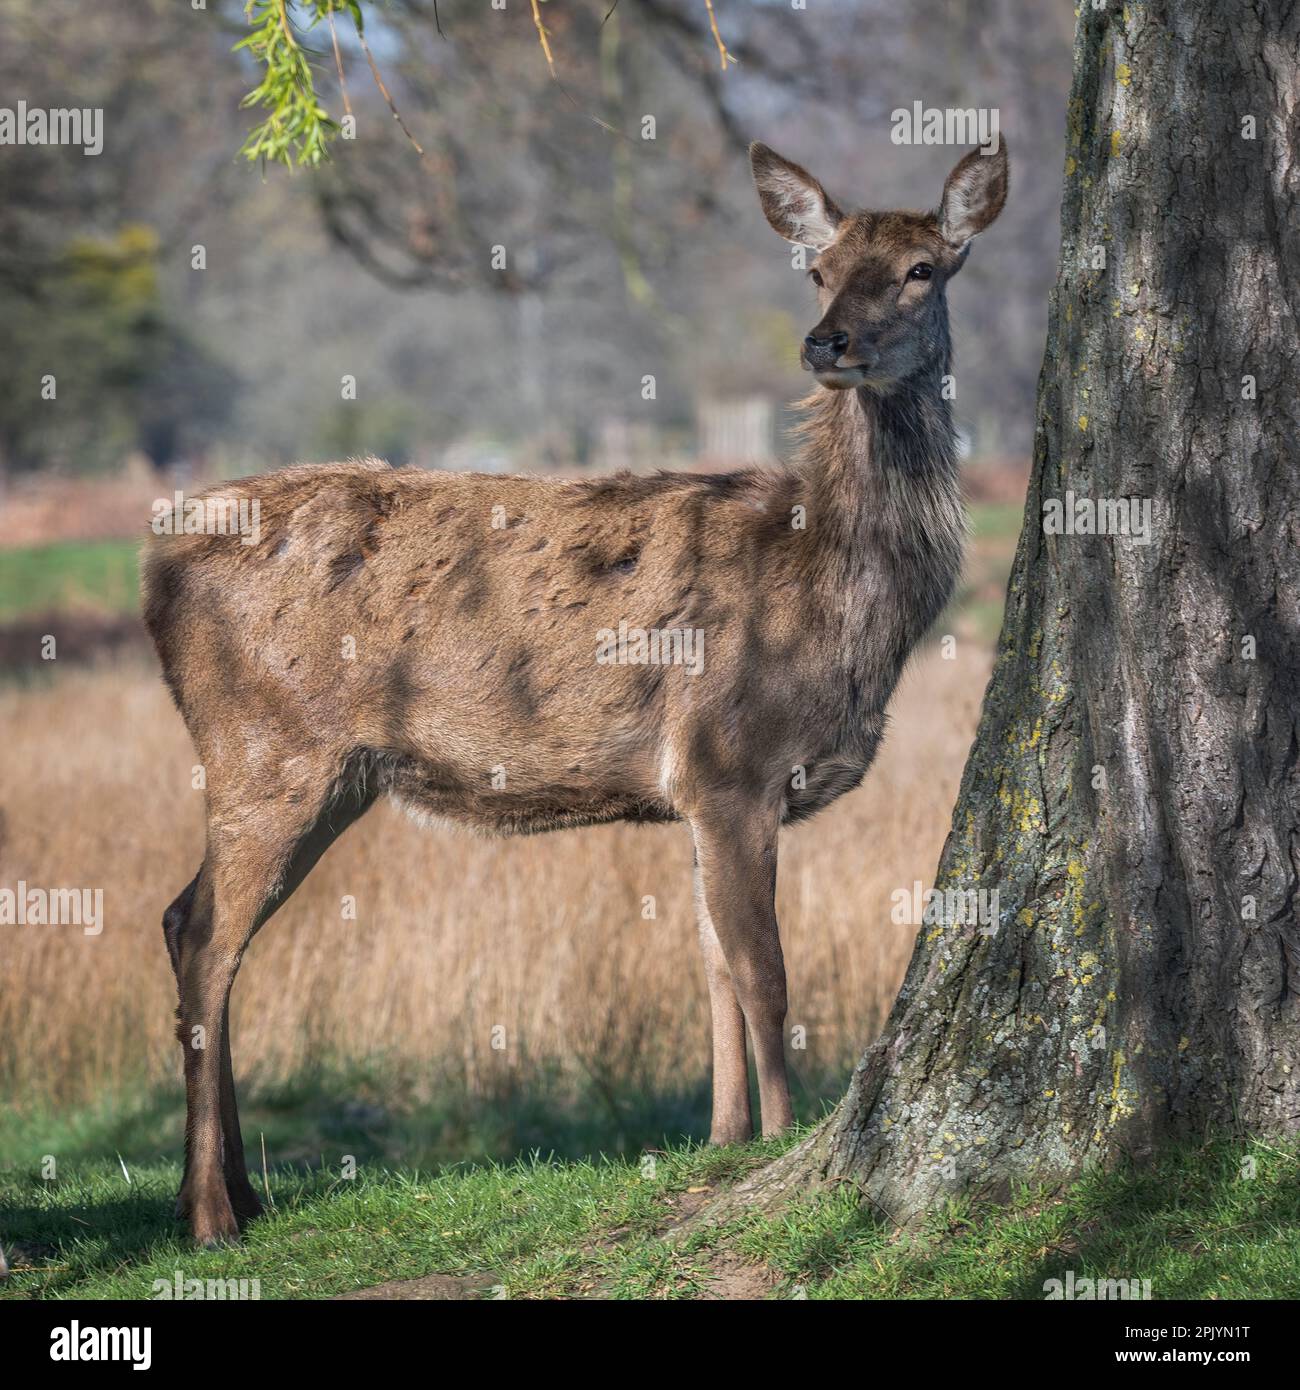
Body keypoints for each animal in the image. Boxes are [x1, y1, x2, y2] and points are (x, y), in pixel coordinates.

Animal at [143, 138, 1008, 1245]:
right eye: (817, 271)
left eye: (920, 269)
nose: (829, 341)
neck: (836, 593)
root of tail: (152, 573)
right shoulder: (732, 759)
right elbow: (765, 972)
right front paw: (777, 1135)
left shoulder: (699, 793)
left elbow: (712, 965)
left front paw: (725, 1138)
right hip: (267, 747)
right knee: (208, 935)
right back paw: (211, 1211)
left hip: (327, 773)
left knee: (189, 922)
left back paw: (236, 1191)